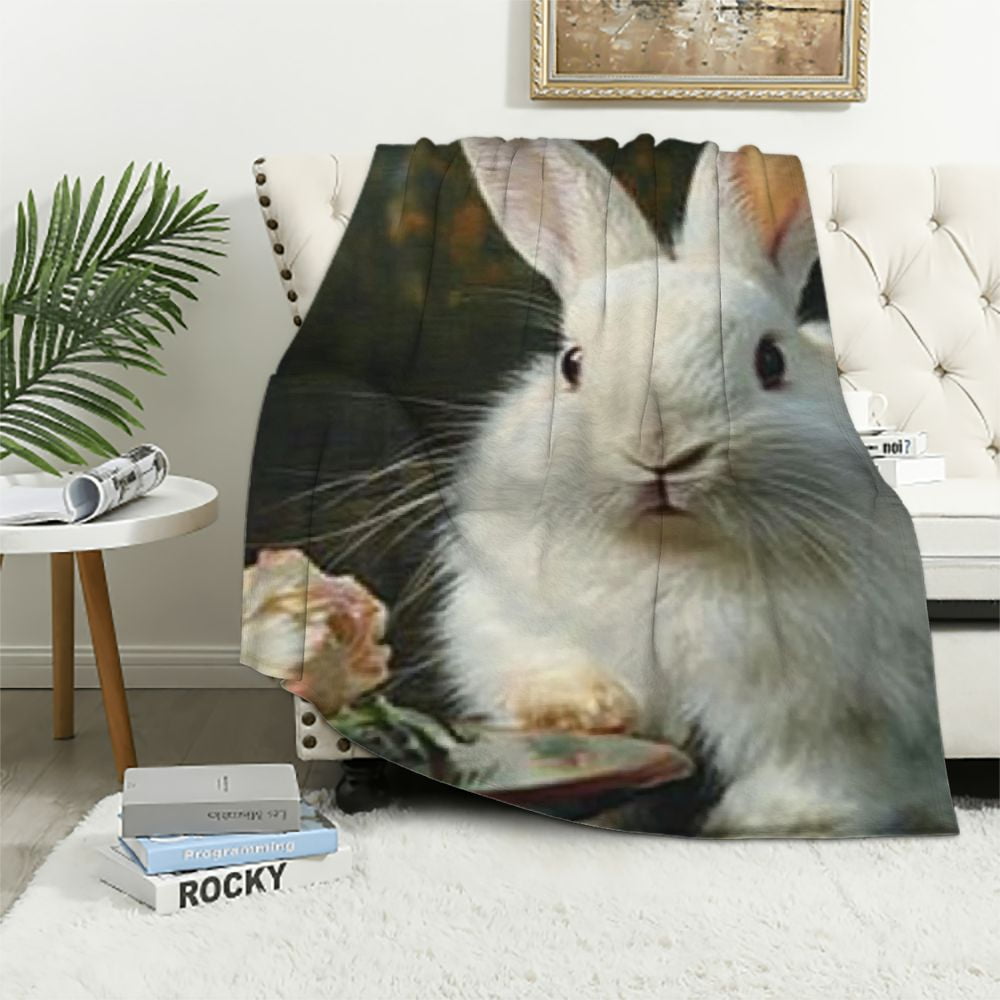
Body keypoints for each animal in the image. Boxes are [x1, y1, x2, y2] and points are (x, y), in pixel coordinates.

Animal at [434, 138, 956, 837]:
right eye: (572, 364)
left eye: (771, 361)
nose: (661, 452)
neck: (671, 554)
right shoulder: (509, 617)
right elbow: (544, 665)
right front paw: (589, 712)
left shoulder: (829, 710)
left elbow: (815, 767)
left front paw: (782, 818)